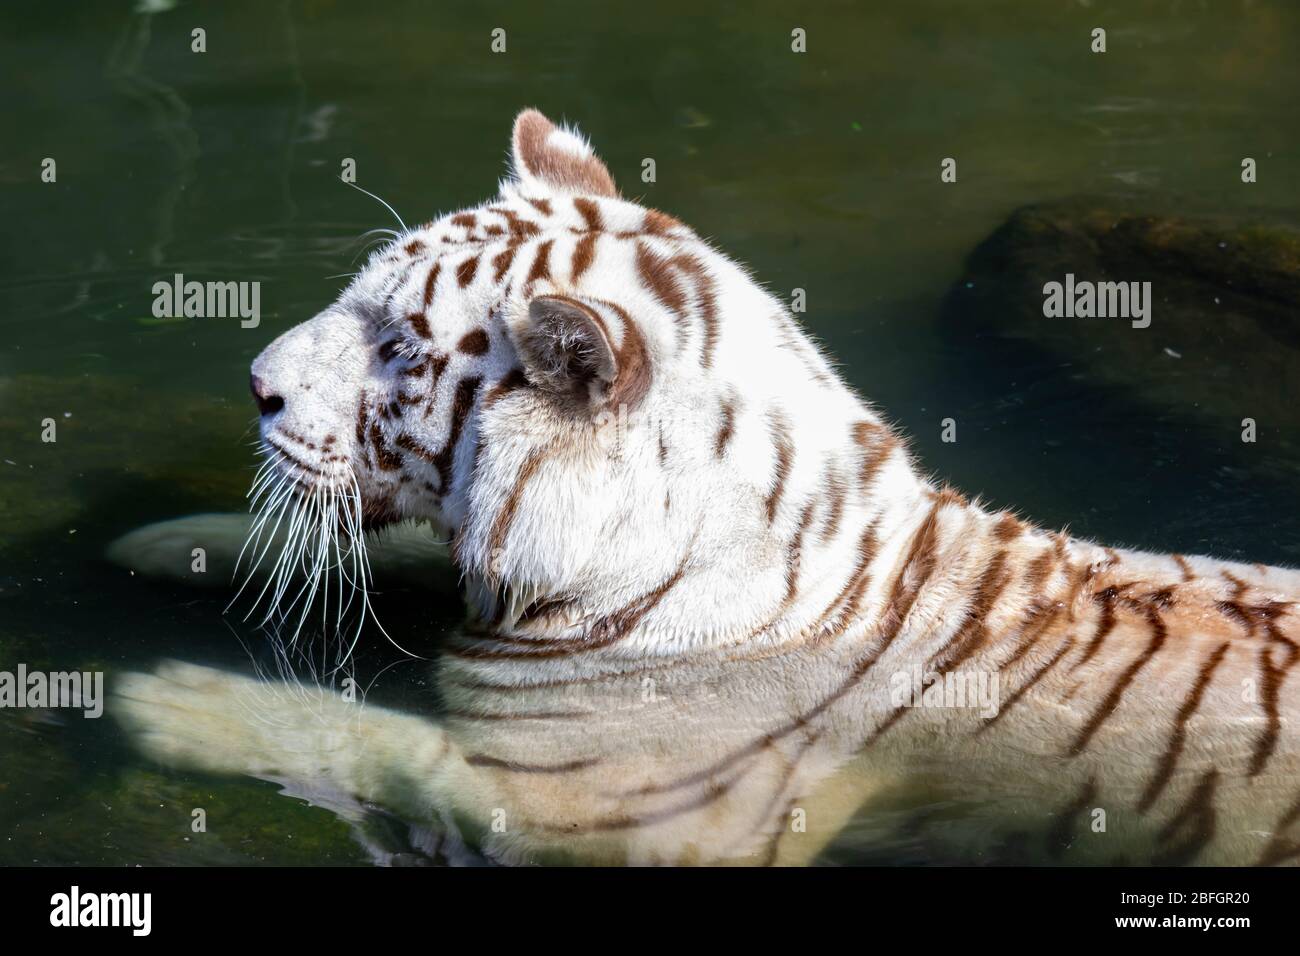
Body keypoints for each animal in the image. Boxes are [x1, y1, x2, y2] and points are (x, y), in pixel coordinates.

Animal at [113, 109, 1300, 866]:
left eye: (401, 347)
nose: (256, 384)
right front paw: (162, 541)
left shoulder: (593, 811)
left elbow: (378, 740)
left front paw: (174, 704)